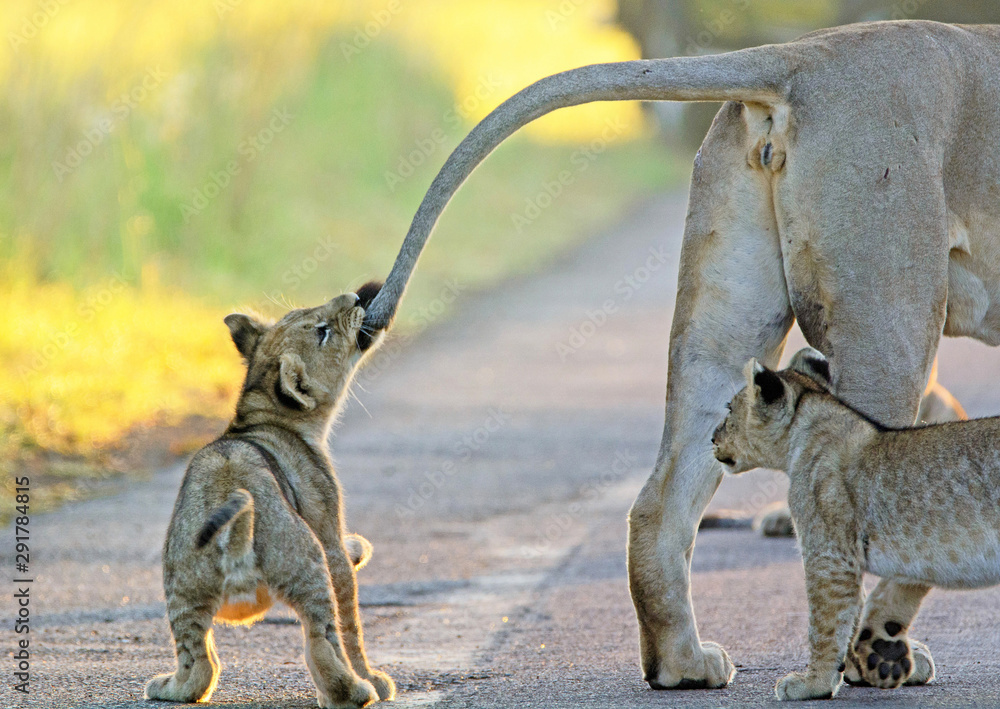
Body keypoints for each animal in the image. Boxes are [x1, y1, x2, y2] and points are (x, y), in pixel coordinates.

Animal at [145, 283, 395, 709]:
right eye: (322, 332)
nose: (353, 297)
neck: (263, 415)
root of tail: (233, 539)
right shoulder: (326, 526)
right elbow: (350, 622)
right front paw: (372, 677)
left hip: (182, 587)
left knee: (197, 662)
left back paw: (167, 687)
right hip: (306, 562)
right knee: (321, 637)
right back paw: (355, 690)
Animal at [712, 348, 1000, 700]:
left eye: (729, 409)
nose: (712, 438)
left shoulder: (829, 556)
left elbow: (825, 624)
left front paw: (813, 684)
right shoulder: (923, 552)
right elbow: (890, 594)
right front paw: (883, 654)